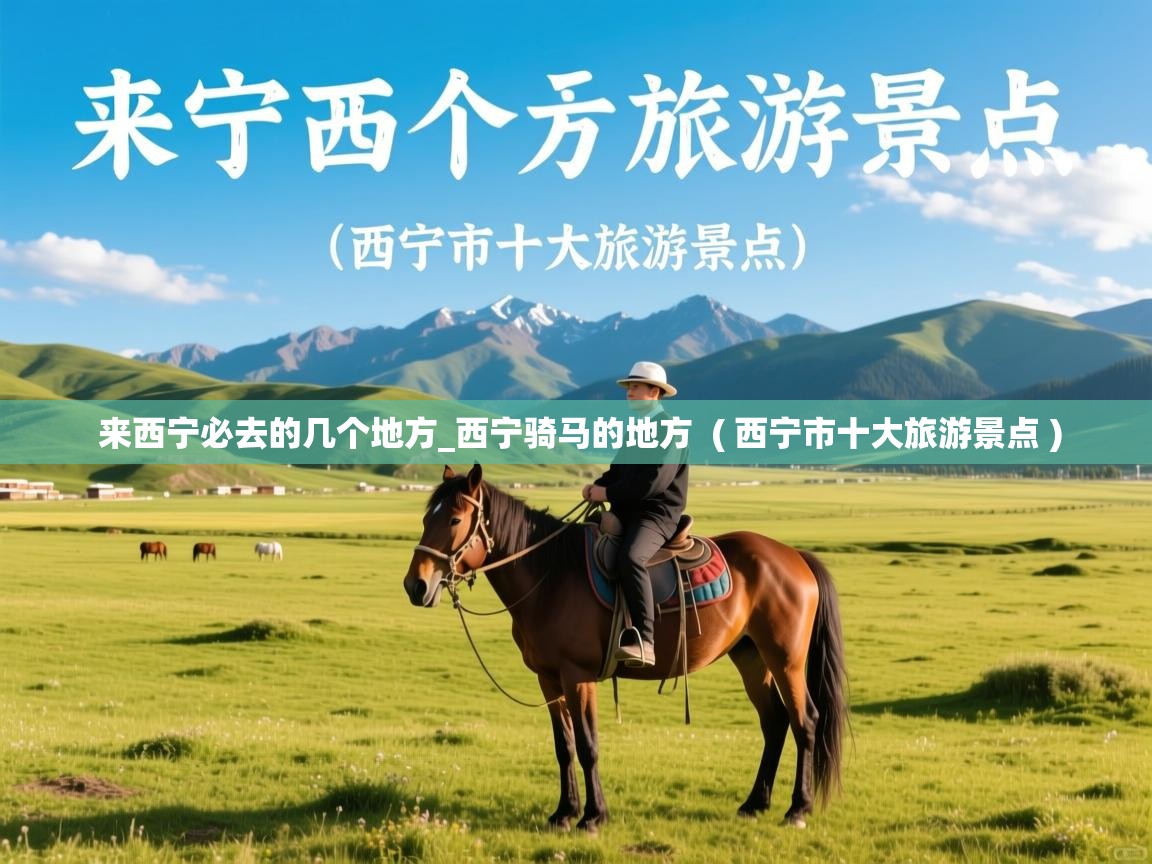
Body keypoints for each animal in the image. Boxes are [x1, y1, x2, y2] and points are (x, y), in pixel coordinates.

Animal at [403, 465, 848, 832]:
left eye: (455, 518)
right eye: (426, 517)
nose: (416, 585)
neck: (550, 576)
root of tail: (795, 557)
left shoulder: (578, 675)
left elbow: (587, 745)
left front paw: (592, 817)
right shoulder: (548, 678)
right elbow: (564, 746)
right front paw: (563, 813)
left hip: (786, 660)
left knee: (805, 721)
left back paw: (797, 809)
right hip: (752, 657)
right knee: (774, 722)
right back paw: (754, 804)